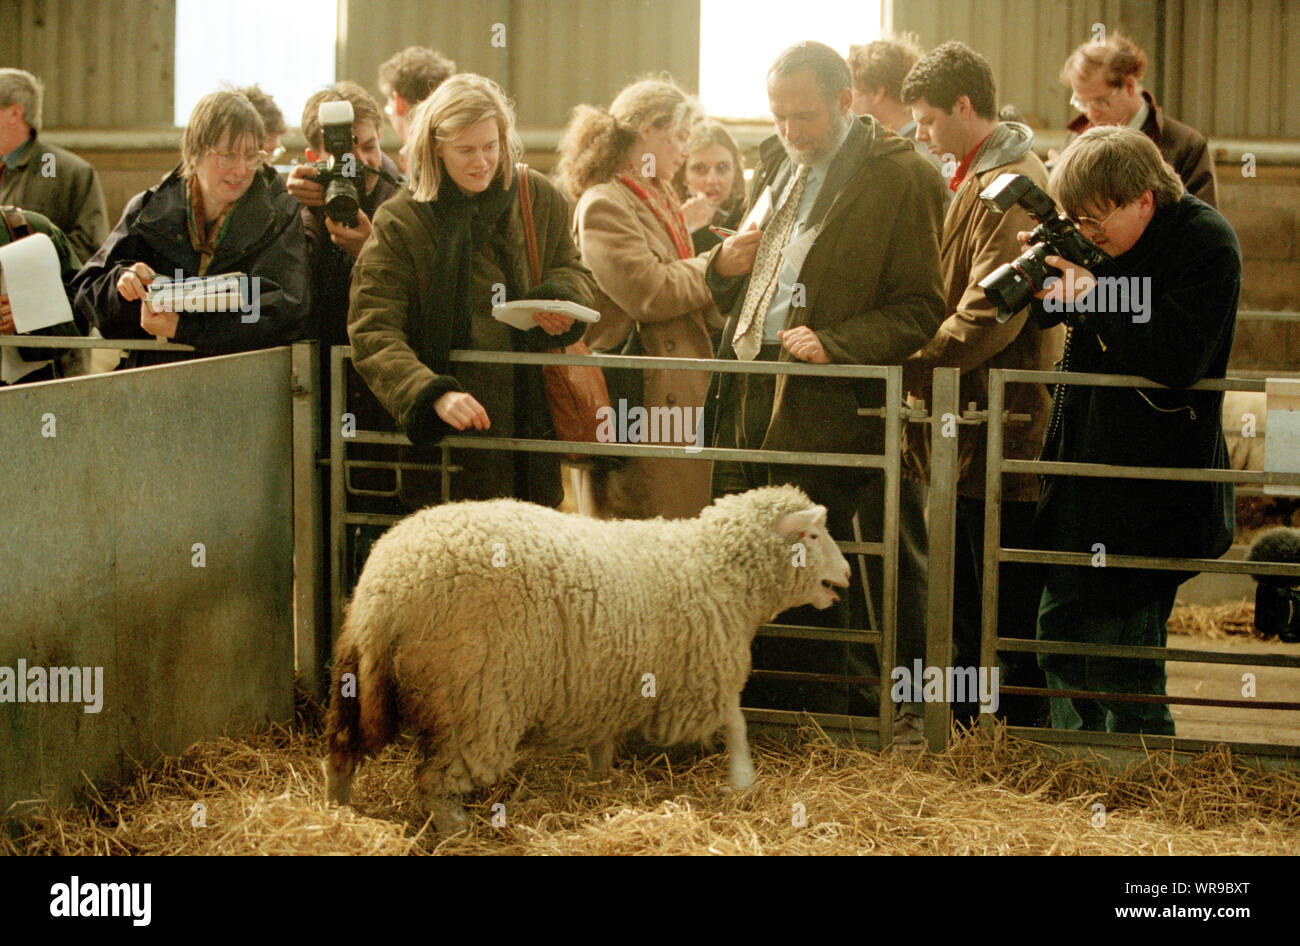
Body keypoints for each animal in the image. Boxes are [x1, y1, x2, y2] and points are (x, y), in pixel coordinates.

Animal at [323, 484, 852, 832]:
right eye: (813, 536)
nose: (846, 575)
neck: (718, 568)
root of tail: (387, 589)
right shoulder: (699, 675)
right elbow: (737, 721)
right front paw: (742, 780)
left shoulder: (615, 678)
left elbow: (606, 737)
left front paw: (601, 775)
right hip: (473, 698)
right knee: (434, 782)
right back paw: (457, 830)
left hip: (359, 681)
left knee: (343, 750)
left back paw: (337, 811)